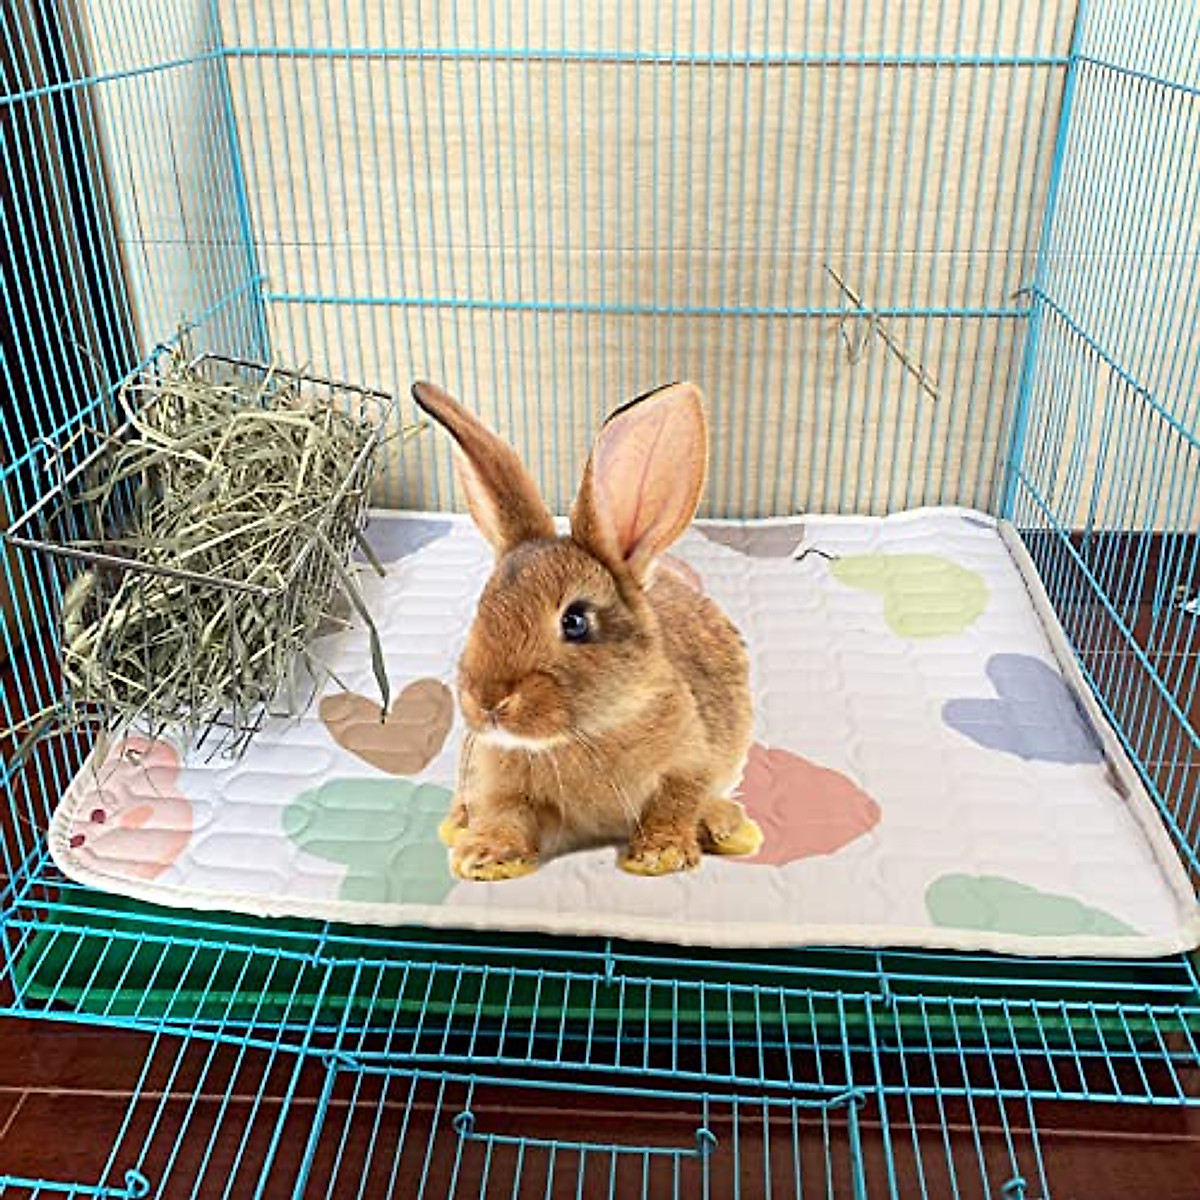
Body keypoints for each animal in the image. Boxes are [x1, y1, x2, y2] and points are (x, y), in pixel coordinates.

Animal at [410, 380, 762, 881]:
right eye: (483, 606)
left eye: (575, 621)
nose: (487, 702)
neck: (588, 733)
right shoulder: (496, 780)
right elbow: (503, 815)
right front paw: (486, 860)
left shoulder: (691, 762)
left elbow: (675, 803)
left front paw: (659, 856)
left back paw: (729, 829)